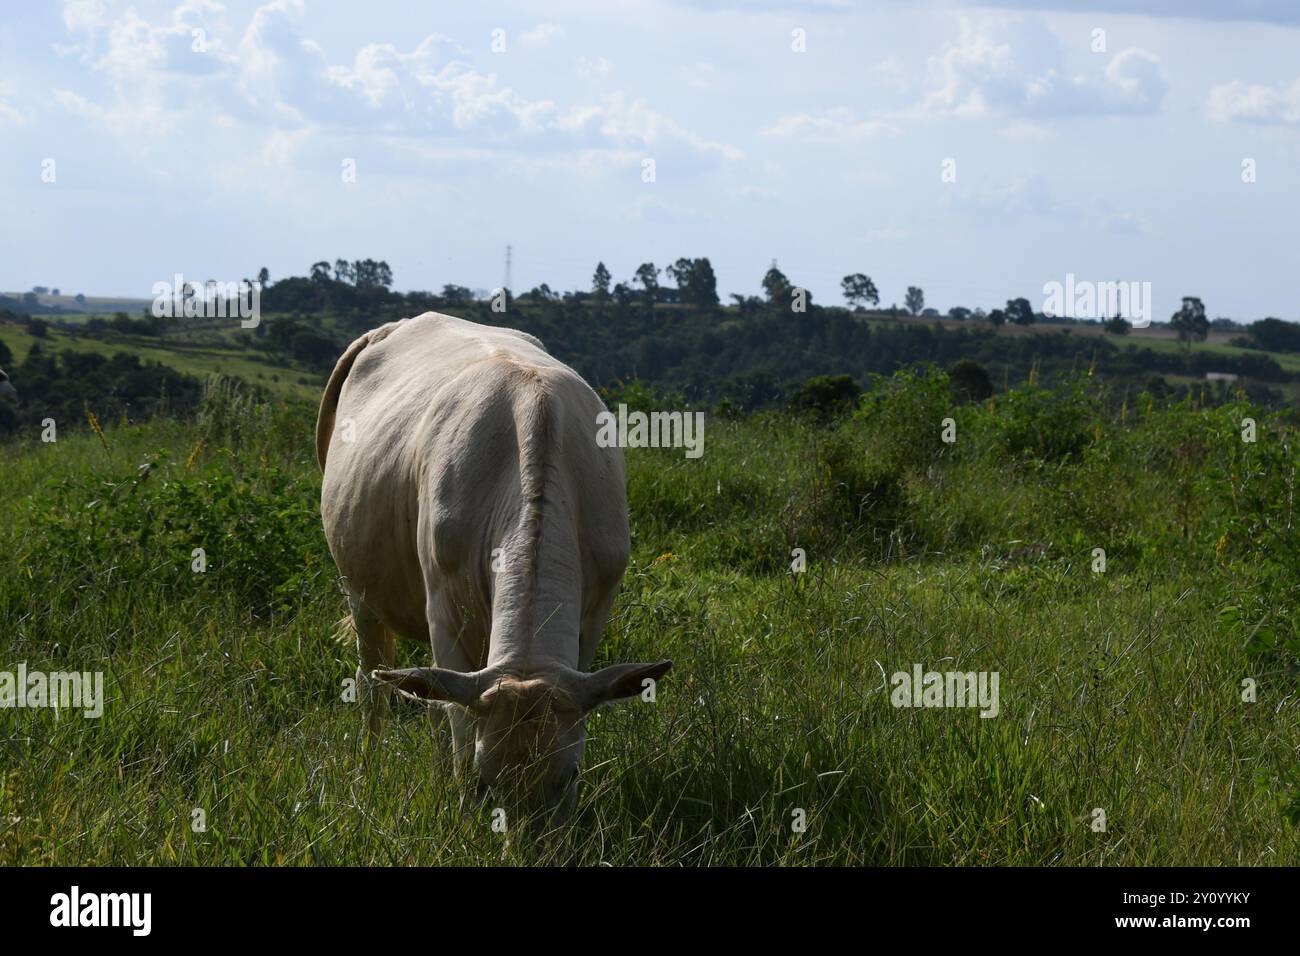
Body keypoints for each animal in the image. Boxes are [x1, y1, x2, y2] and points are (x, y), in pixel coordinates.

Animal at [316, 312, 670, 825]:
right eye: (485, 780)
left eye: (572, 776)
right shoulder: (445, 613)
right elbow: (461, 728)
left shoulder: (596, 614)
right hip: (358, 589)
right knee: (372, 686)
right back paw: (369, 763)